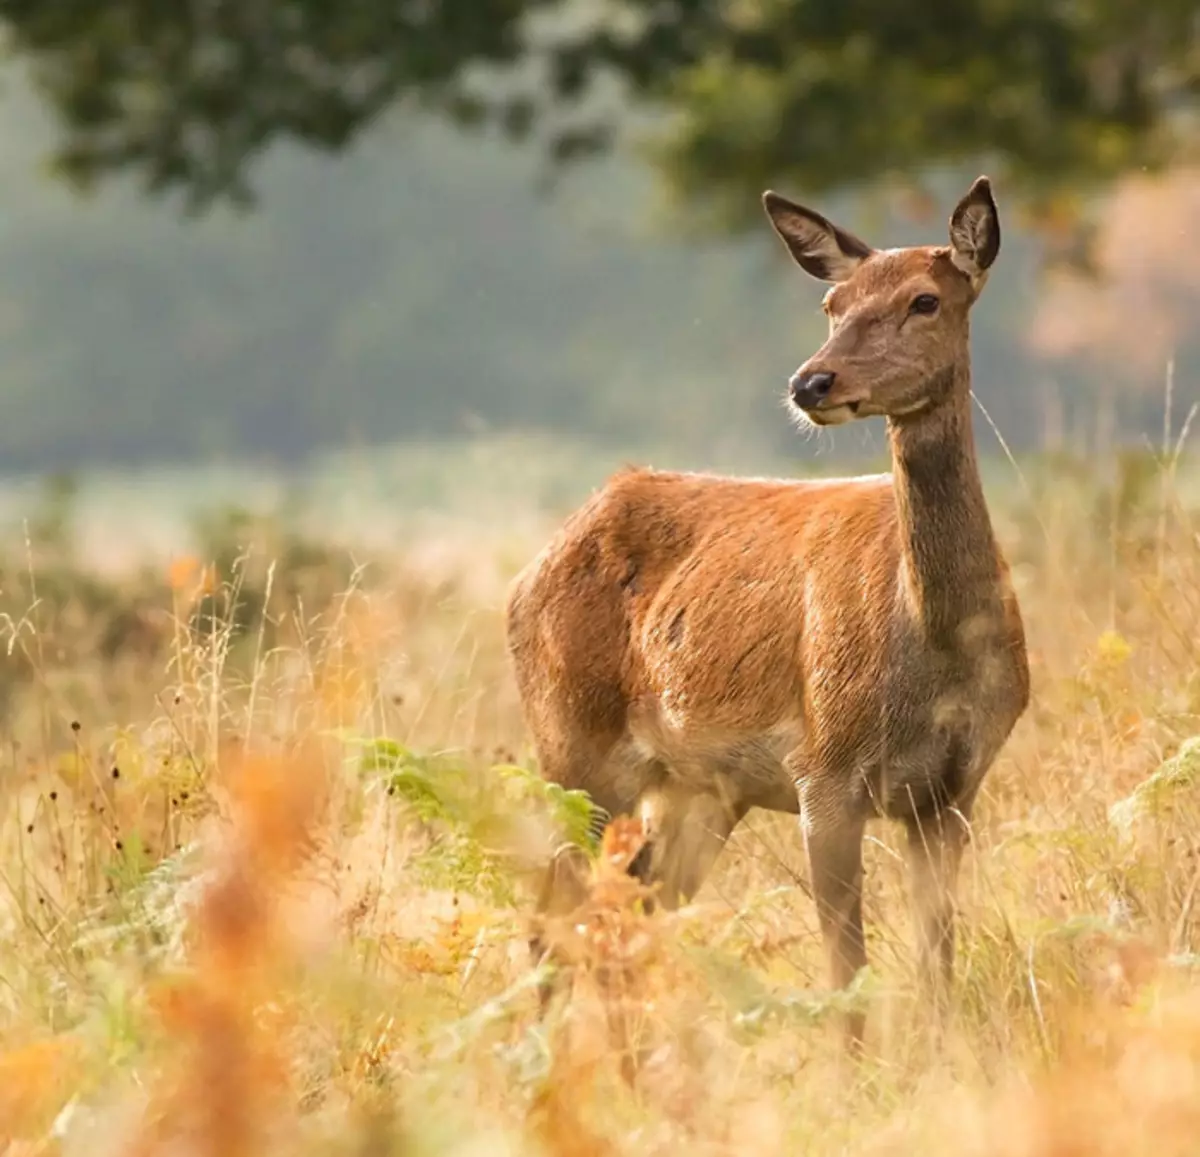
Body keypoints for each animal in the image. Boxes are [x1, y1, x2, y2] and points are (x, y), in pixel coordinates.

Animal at [506, 176, 1032, 1051]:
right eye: (832, 302)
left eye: (925, 300)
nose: (810, 383)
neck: (936, 650)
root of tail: (528, 571)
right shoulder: (824, 770)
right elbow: (846, 971)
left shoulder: (955, 789)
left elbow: (937, 966)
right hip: (570, 745)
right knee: (558, 920)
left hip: (695, 789)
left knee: (634, 915)